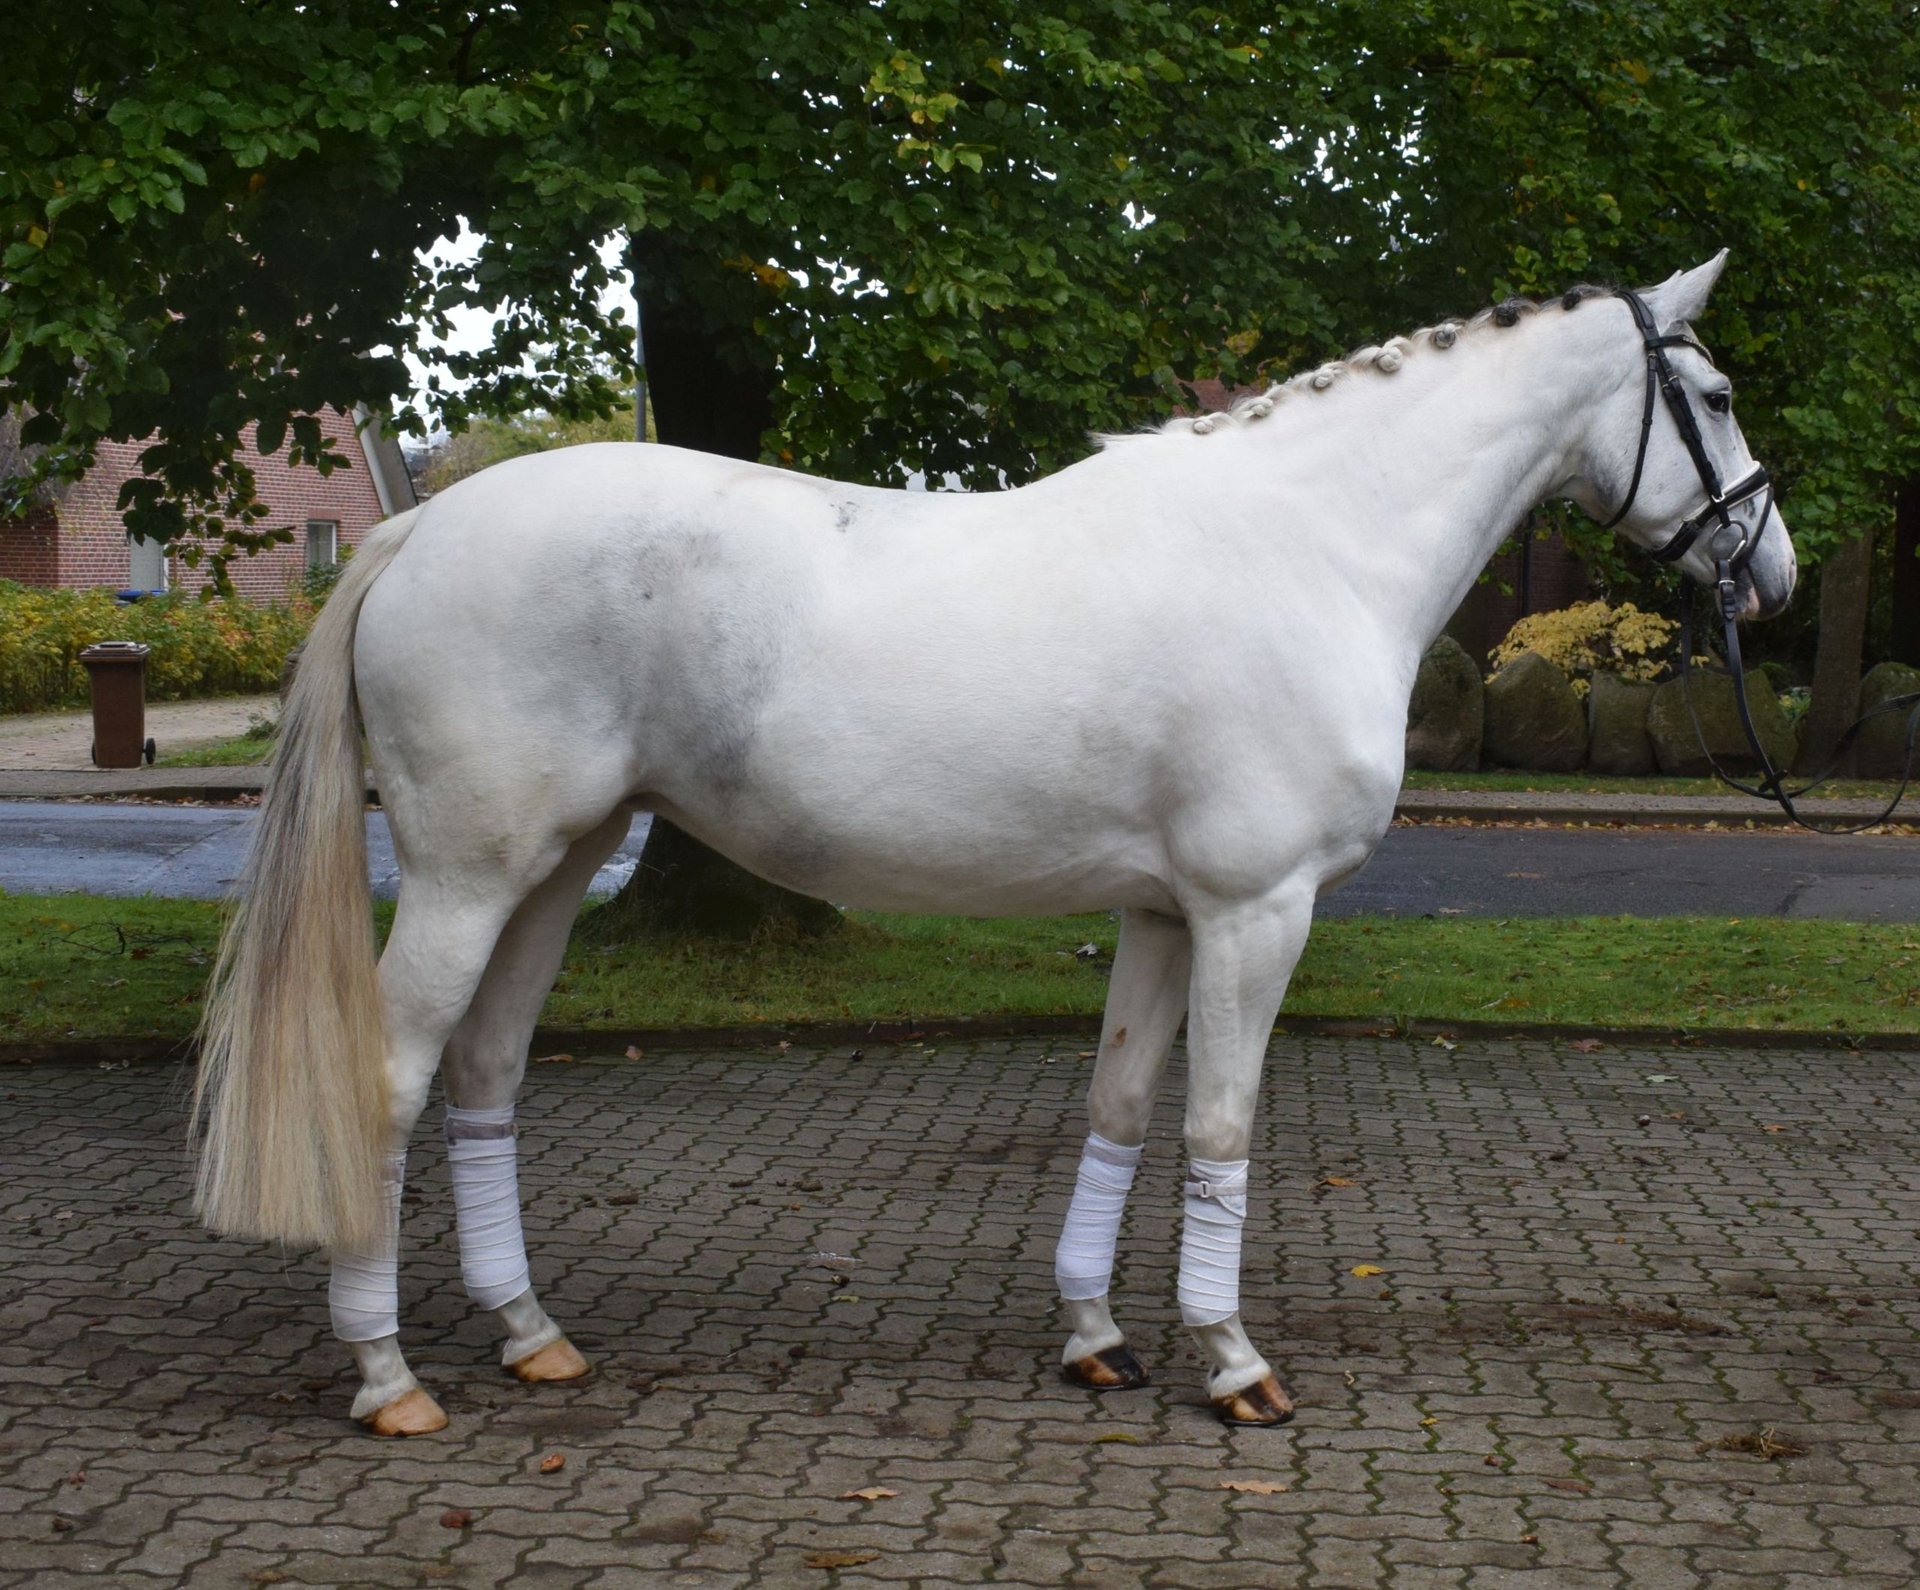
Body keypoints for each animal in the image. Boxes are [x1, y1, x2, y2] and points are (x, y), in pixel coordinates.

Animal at [193, 253, 1795, 1434]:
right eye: (1713, 393)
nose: (1770, 574)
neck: (1309, 545)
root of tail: (420, 532)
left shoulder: (1163, 913)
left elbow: (1122, 1107)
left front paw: (1097, 1337)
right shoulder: (1255, 909)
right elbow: (1218, 1128)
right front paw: (1232, 1363)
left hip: (558, 866)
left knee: (484, 1075)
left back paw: (532, 1336)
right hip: (468, 878)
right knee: (390, 1081)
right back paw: (389, 1379)